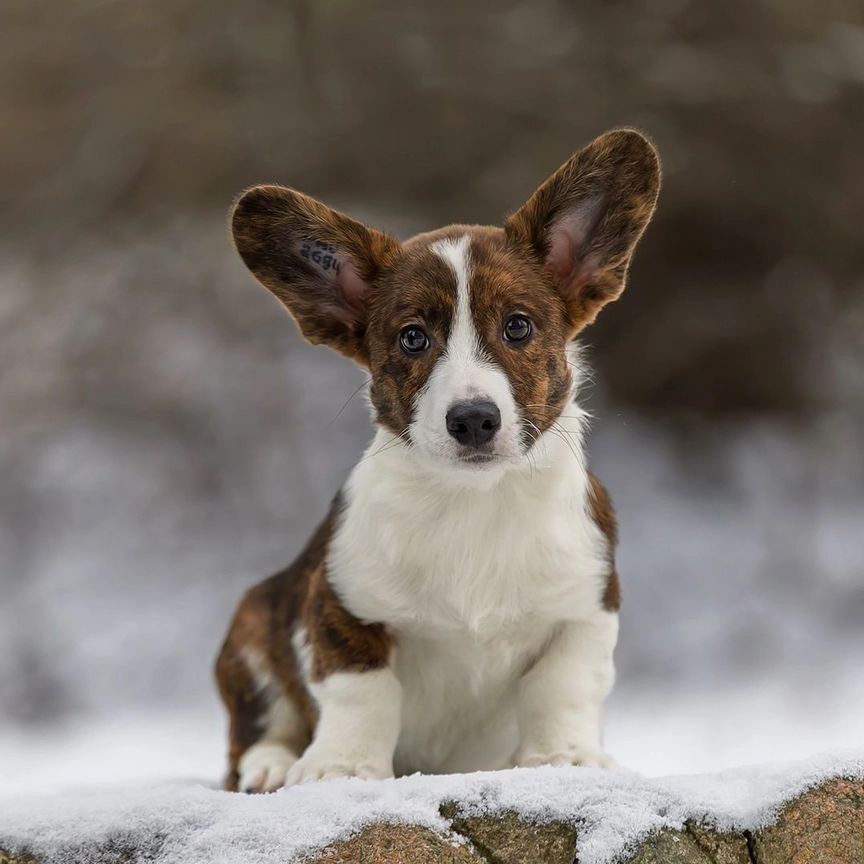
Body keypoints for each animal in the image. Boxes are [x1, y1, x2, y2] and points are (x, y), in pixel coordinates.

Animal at [216, 125, 660, 792]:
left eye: (518, 327)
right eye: (413, 338)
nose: (473, 419)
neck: (474, 502)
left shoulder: (584, 606)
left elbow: (563, 686)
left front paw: (565, 758)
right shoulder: (342, 604)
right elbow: (362, 692)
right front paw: (341, 769)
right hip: (249, 627)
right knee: (253, 735)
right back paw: (273, 765)